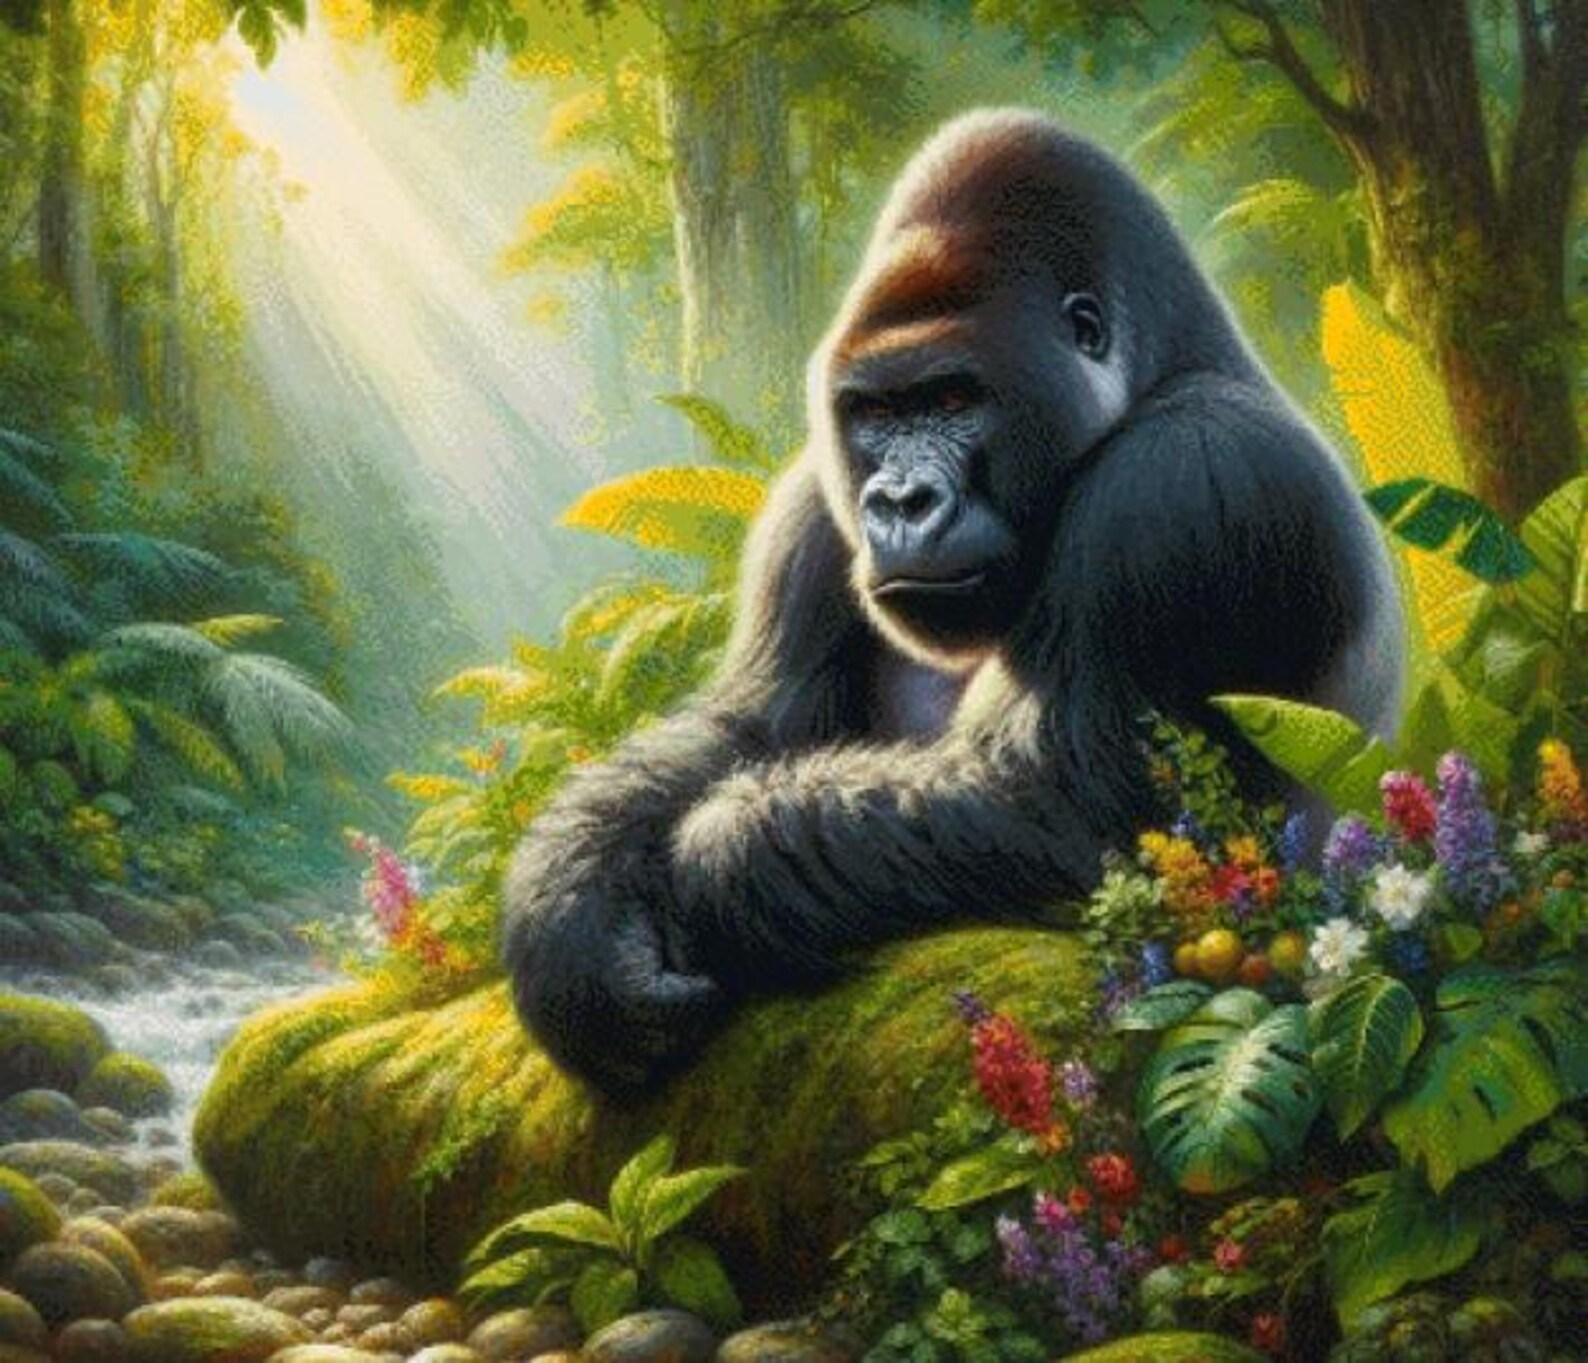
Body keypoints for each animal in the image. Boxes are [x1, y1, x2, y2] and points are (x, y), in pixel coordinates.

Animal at [502, 109, 1404, 1096]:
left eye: (952, 396)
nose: (899, 501)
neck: (1169, 363)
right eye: (874, 412)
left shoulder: (1193, 475)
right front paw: (575, 918)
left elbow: (1073, 814)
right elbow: (747, 727)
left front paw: (719, 856)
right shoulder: (811, 499)